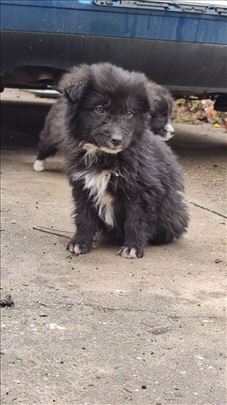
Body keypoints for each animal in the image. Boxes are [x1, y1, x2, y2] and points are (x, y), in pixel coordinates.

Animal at [56, 63, 188, 258]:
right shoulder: (83, 185)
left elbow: (135, 220)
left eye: (129, 113)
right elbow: (84, 217)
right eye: (100, 109)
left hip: (172, 213)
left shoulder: (142, 190)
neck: (107, 157)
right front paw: (80, 242)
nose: (117, 139)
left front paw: (132, 247)